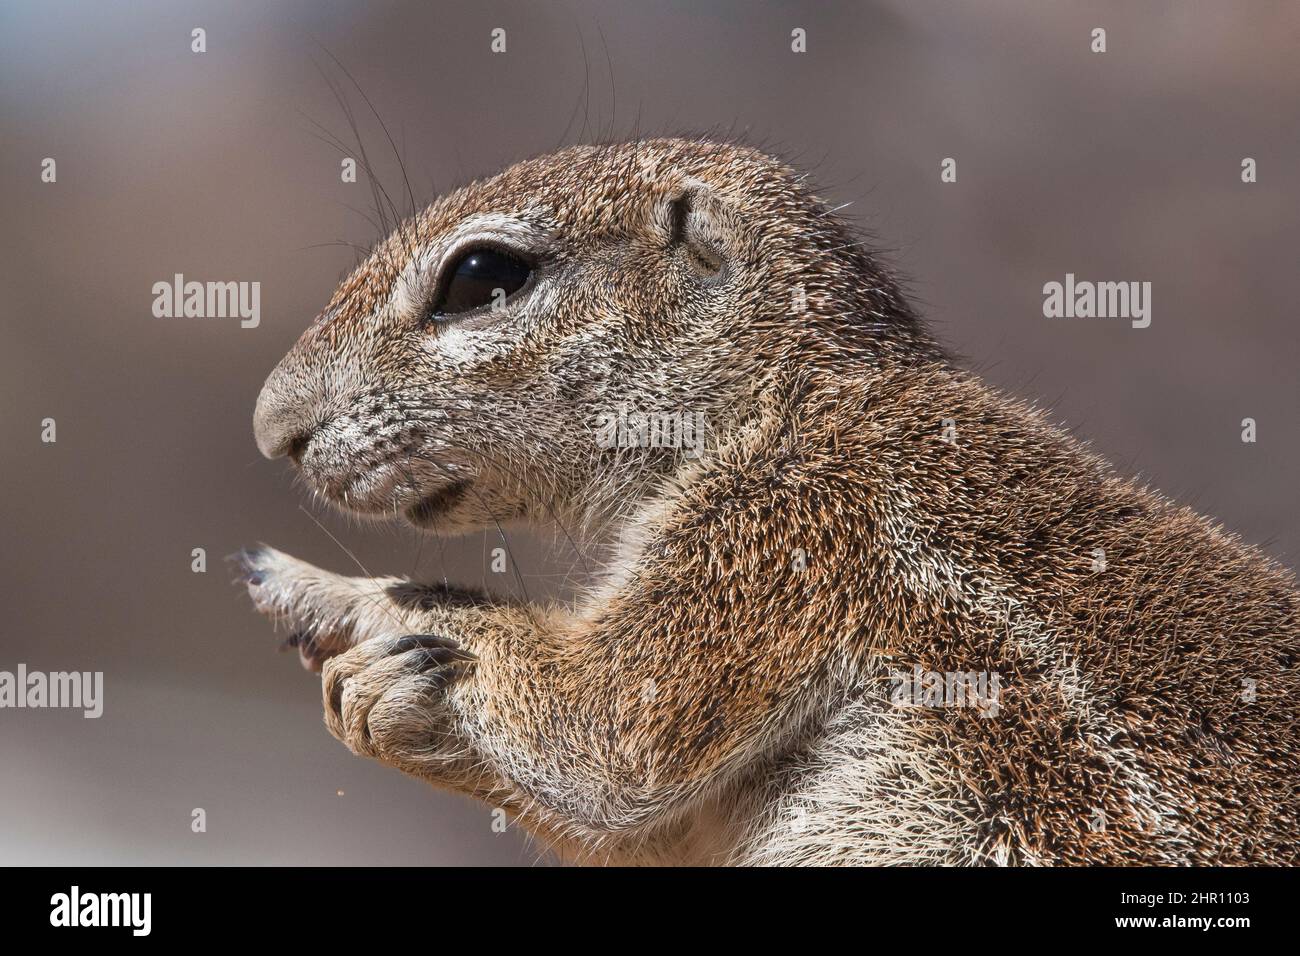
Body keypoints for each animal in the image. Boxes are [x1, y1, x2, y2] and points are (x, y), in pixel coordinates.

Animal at [241, 137, 1299, 865]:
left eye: (480, 276)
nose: (271, 428)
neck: (787, 398)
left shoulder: (782, 536)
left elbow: (607, 731)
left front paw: (325, 592)